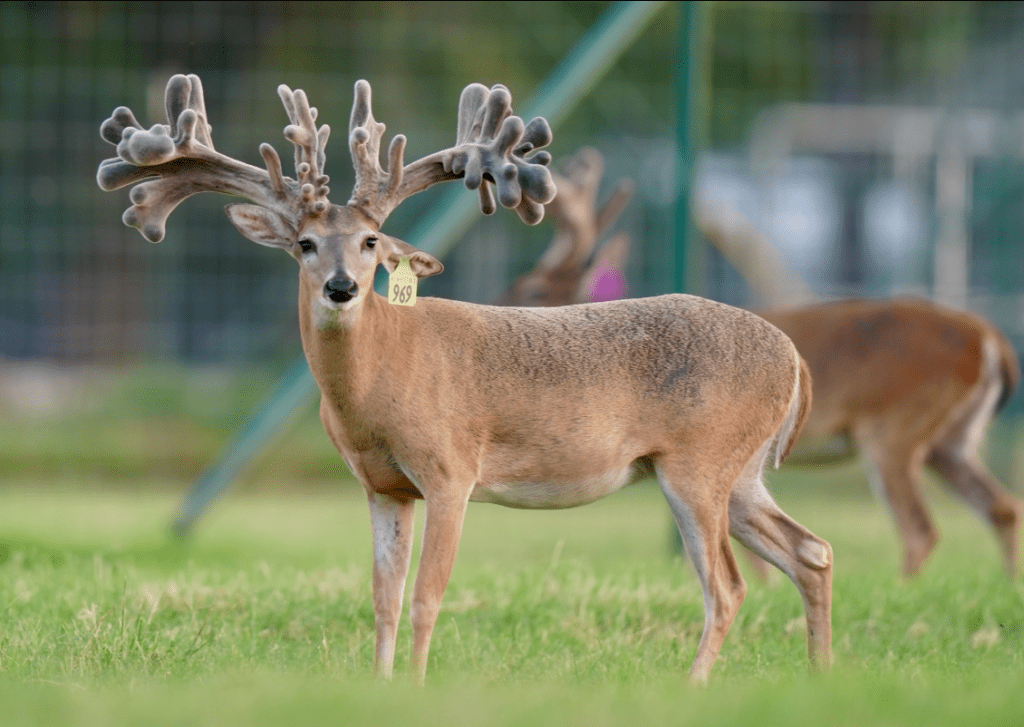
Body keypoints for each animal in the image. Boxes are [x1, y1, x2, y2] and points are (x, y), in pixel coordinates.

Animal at [97, 74, 833, 684]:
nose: (340, 287)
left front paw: (417, 688)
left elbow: (427, 596)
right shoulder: (383, 486)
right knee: (812, 550)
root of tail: (793, 356)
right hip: (739, 473)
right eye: (304, 244)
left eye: (371, 242)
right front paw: (380, 686)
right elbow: (383, 597)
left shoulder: (451, 469)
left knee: (729, 585)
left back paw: (694, 686)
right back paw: (819, 676)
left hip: (699, 462)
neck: (380, 383)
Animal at [524, 170, 1021, 580]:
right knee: (1001, 507)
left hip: (894, 428)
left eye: (533, 289)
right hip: (950, 441)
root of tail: (990, 340)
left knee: (920, 529)